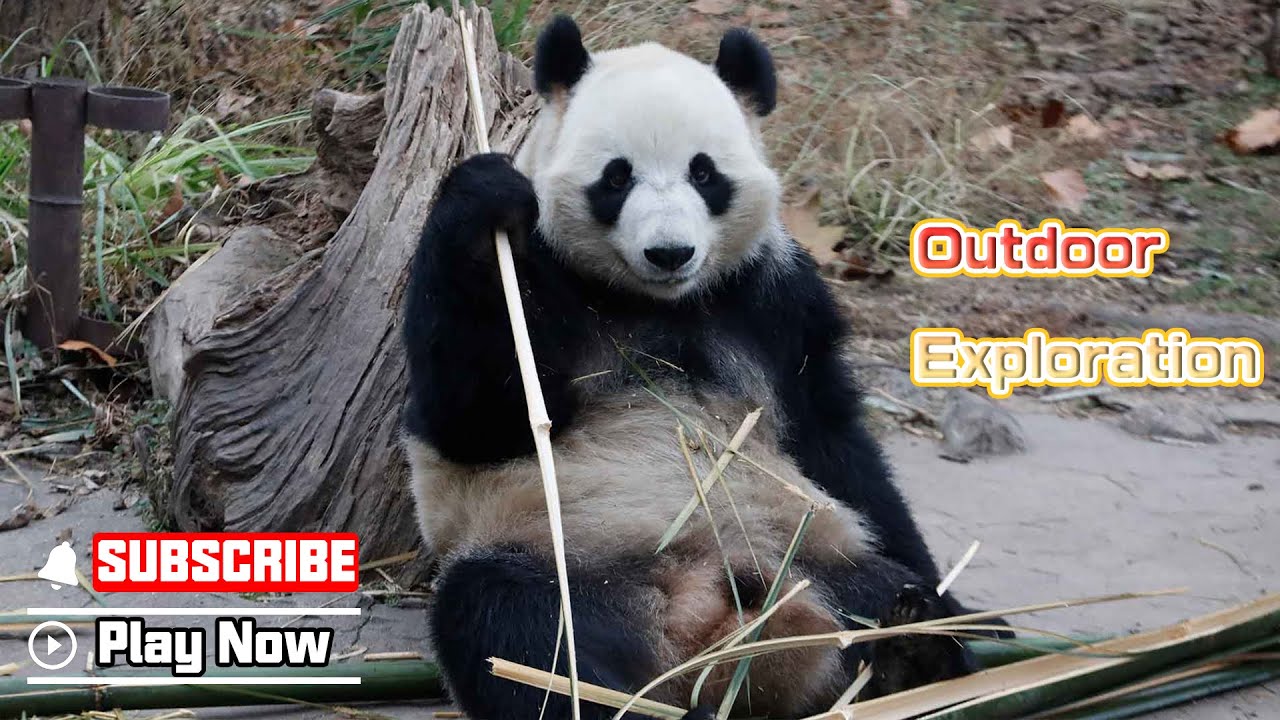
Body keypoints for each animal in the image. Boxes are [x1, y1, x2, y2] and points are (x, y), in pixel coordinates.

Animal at [402, 15, 985, 720]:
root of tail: (706, 632)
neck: (657, 301)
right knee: (513, 625)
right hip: (564, 557)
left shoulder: (773, 298)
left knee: (876, 591)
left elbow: (831, 438)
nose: (669, 252)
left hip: (808, 558)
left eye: (704, 174)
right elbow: (474, 419)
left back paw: (916, 648)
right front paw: (483, 197)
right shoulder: (539, 272)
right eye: (616, 178)